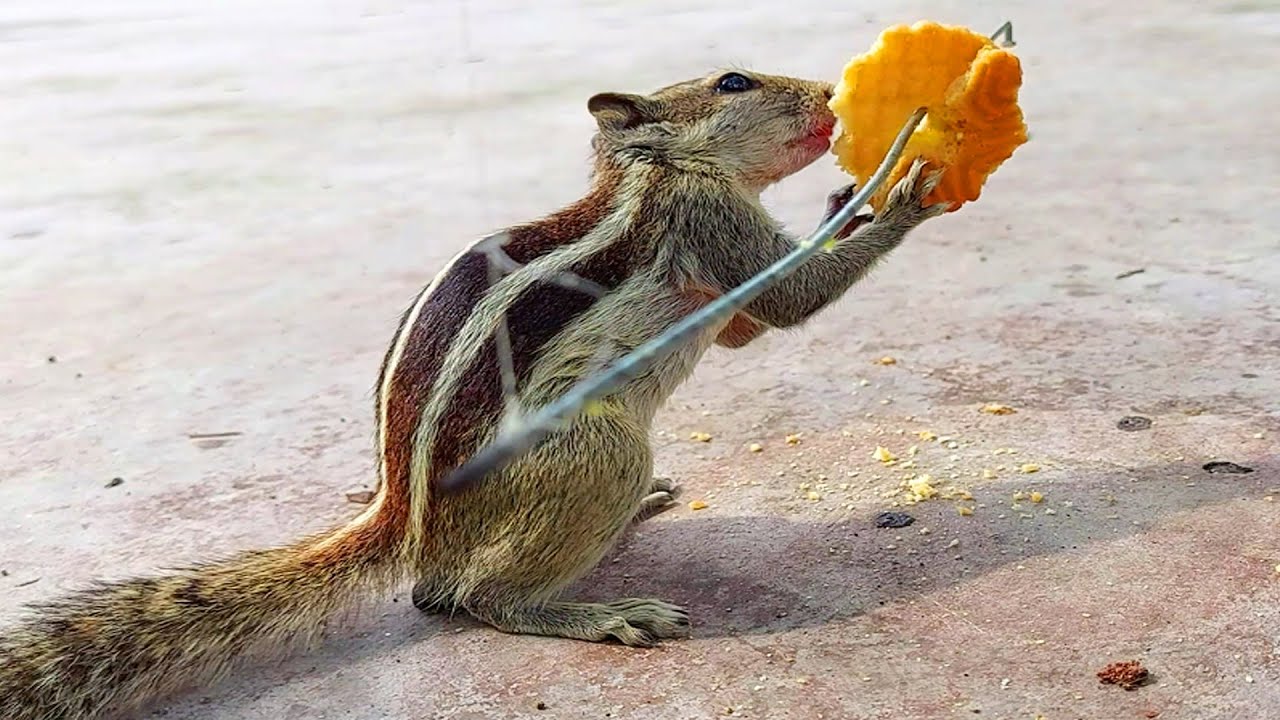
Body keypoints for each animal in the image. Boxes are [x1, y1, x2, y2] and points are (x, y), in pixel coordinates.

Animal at [0, 69, 945, 719]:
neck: (656, 166)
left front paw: (850, 196)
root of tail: (404, 519)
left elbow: (751, 325)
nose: (828, 93)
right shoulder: (707, 217)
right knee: (459, 598)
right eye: (733, 82)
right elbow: (794, 300)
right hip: (600, 449)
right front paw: (903, 198)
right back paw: (600, 613)